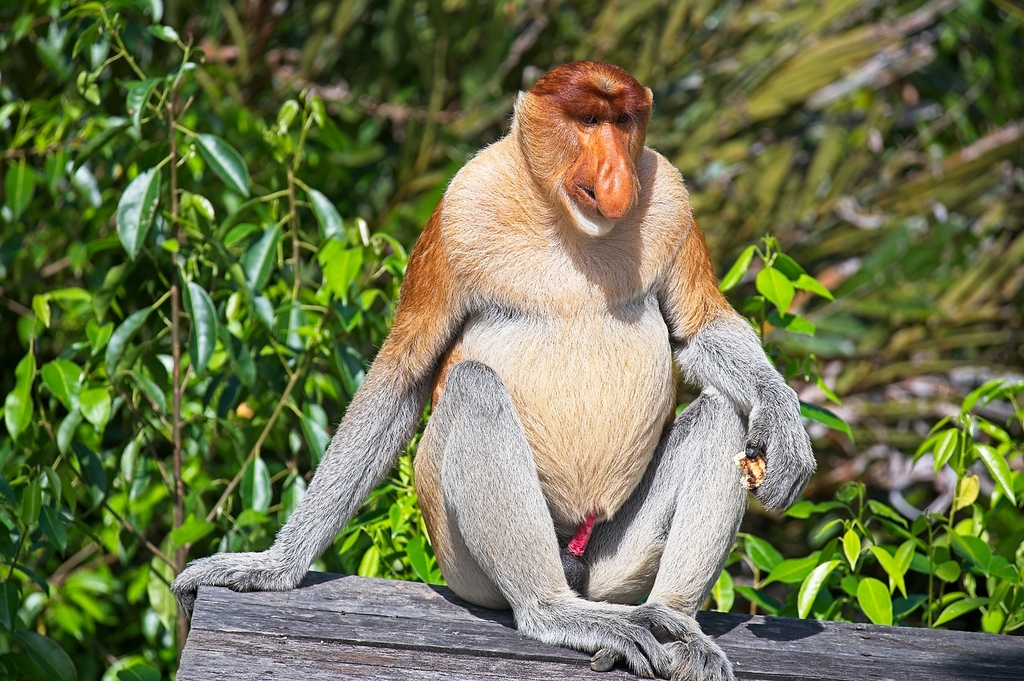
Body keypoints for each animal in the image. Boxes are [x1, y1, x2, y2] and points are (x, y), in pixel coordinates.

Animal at [172, 61, 815, 681]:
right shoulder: (458, 210)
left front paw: (784, 424)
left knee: (719, 410)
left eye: (623, 123)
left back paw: (676, 625)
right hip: (460, 558)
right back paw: (556, 612)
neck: (564, 221)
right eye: (587, 120)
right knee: (473, 387)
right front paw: (271, 567)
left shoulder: (672, 202)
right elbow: (405, 372)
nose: (615, 174)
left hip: (614, 563)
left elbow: (699, 329)